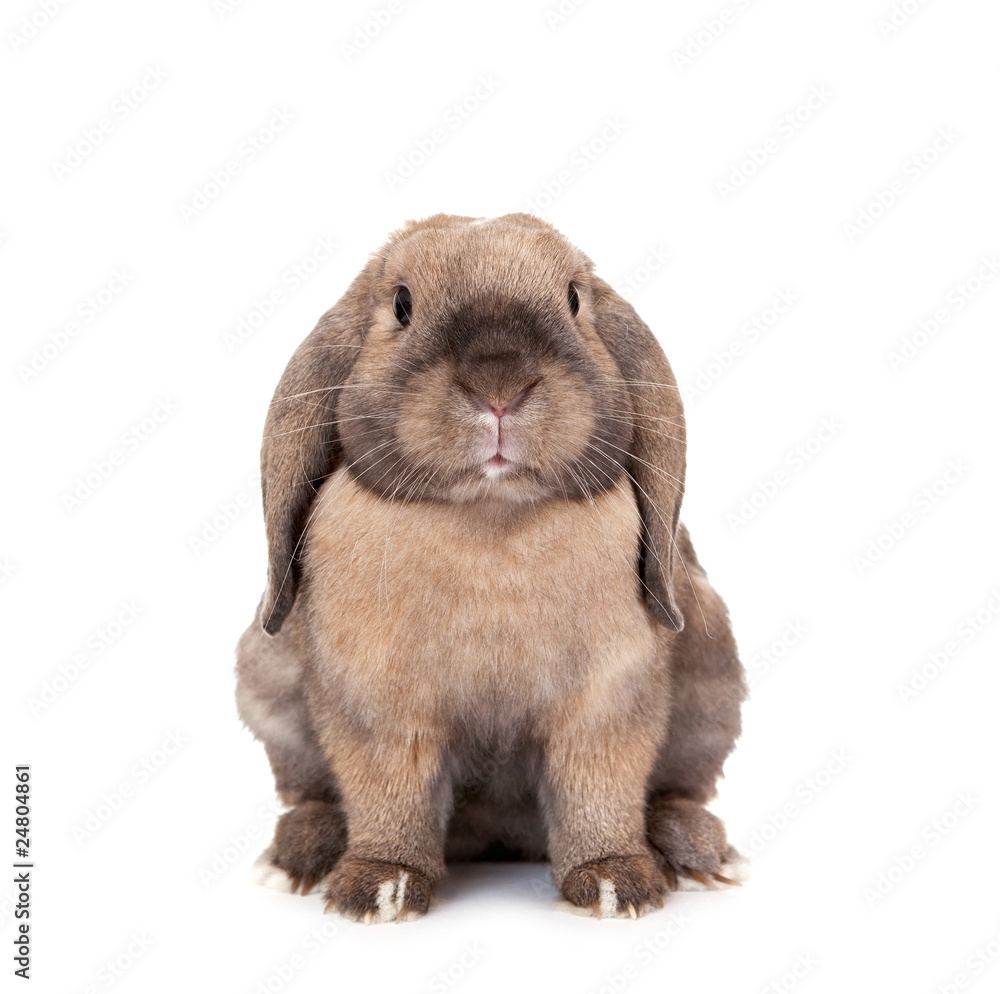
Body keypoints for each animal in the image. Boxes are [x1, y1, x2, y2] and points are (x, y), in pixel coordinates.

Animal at [235, 212, 747, 923]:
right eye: (402, 304)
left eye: (573, 299)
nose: (499, 386)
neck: (490, 516)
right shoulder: (380, 708)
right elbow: (389, 792)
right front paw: (380, 888)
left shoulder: (606, 701)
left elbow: (599, 788)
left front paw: (614, 883)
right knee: (316, 794)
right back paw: (299, 856)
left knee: (677, 792)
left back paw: (694, 853)